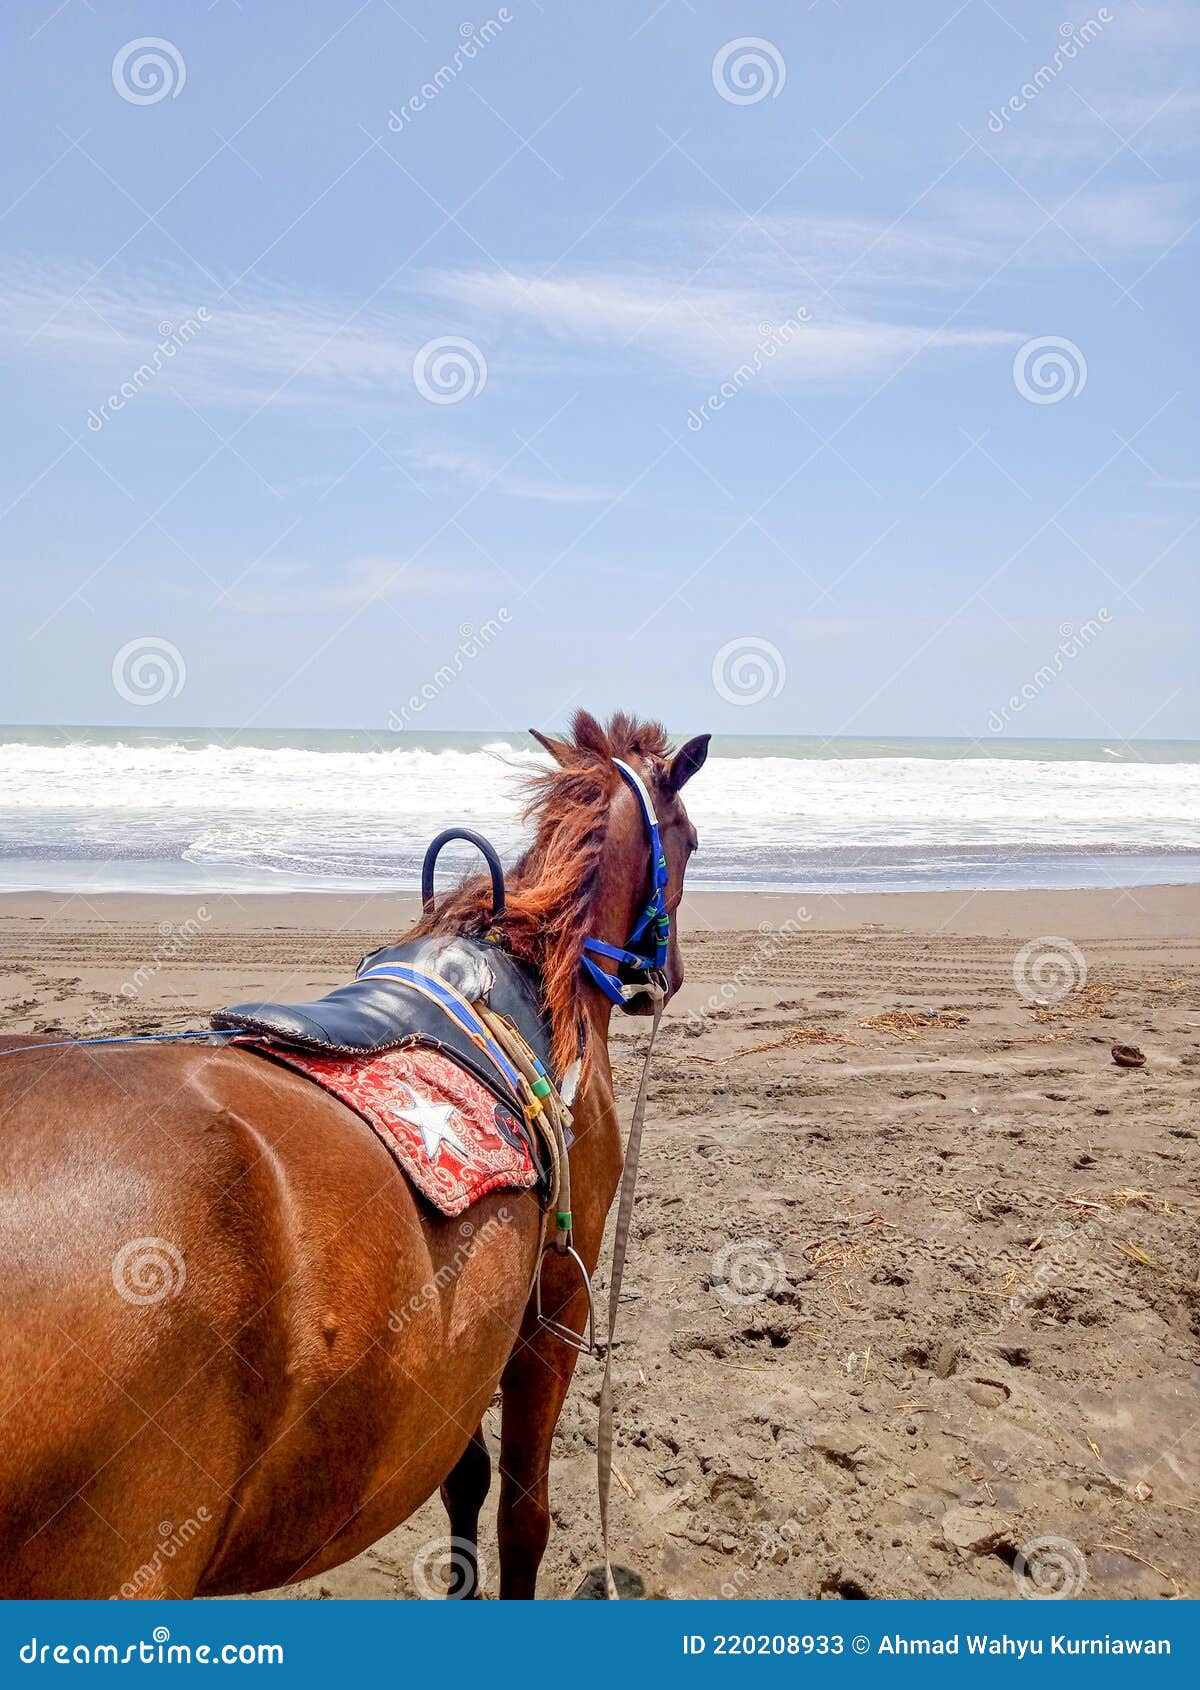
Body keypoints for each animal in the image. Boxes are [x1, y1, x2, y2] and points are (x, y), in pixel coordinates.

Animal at [0, 711, 708, 1600]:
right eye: (690, 837)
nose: (670, 976)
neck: (537, 980)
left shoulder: (463, 1347)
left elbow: (466, 1482)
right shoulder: (552, 1311)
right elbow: (524, 1517)